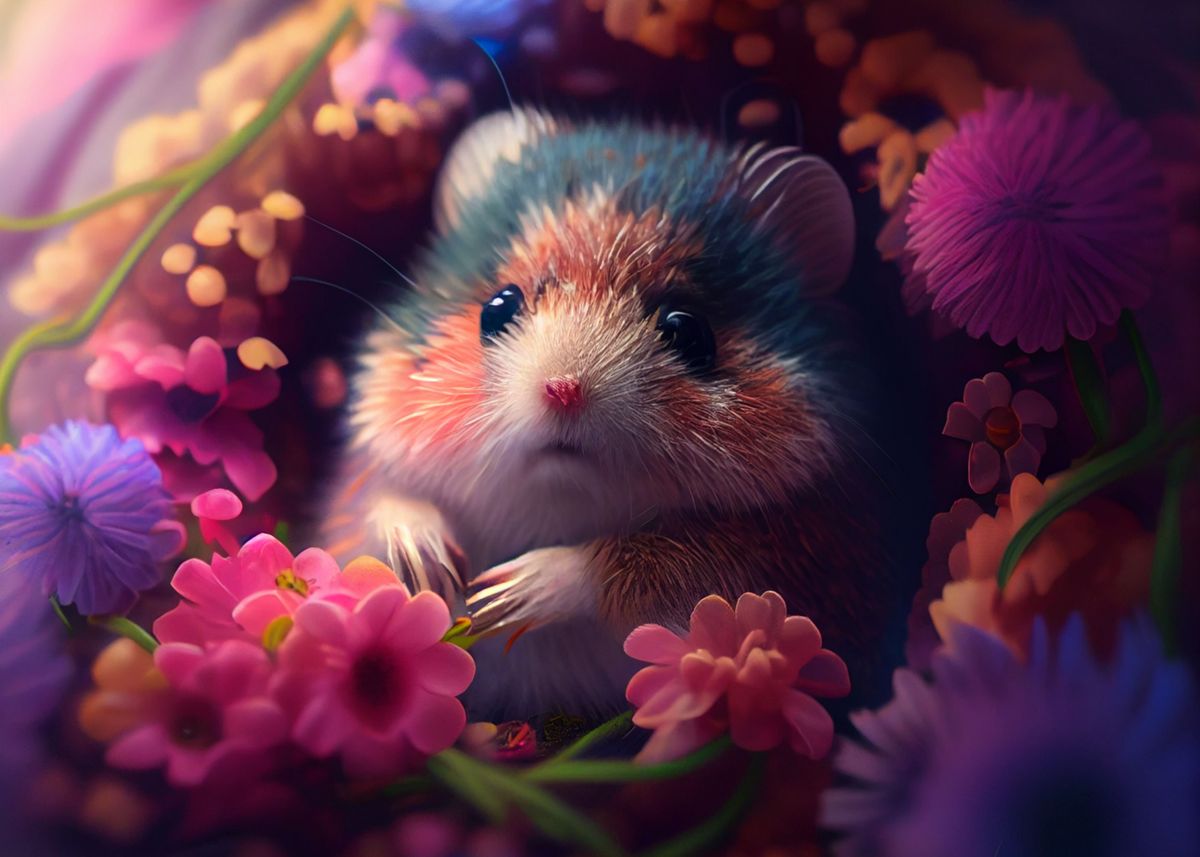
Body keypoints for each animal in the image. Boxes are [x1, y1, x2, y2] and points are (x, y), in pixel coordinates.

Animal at [322, 109, 896, 719]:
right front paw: (429, 564)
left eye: (689, 332)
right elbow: (382, 500)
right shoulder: (355, 491)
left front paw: (503, 596)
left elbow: (641, 563)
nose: (563, 390)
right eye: (497, 307)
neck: (557, 501)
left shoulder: (775, 556)